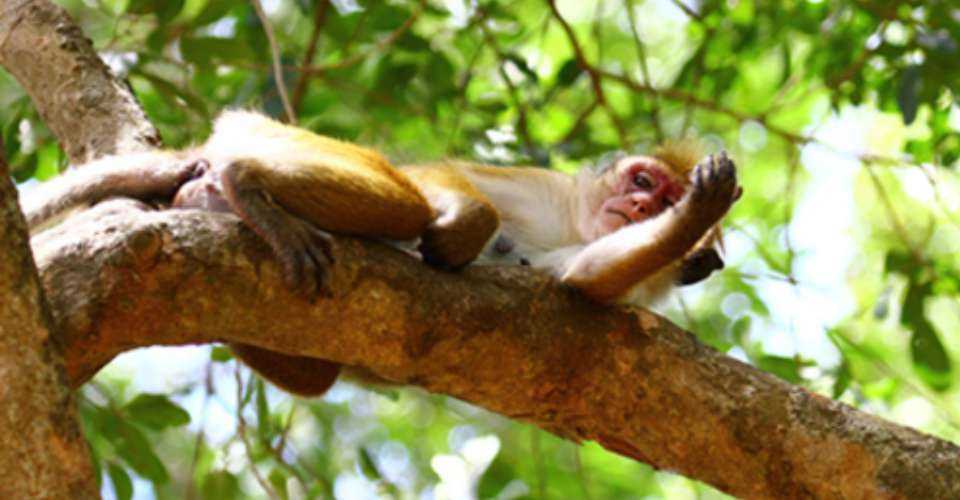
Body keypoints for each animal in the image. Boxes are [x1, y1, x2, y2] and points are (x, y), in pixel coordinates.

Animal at [23, 110, 740, 397]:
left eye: (661, 196)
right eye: (643, 182)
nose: (643, 208)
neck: (574, 220)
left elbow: (585, 280)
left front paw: (696, 219)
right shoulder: (542, 190)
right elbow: (449, 186)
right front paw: (465, 224)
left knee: (317, 376)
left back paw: (216, 197)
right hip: (276, 134)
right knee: (406, 203)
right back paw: (244, 184)